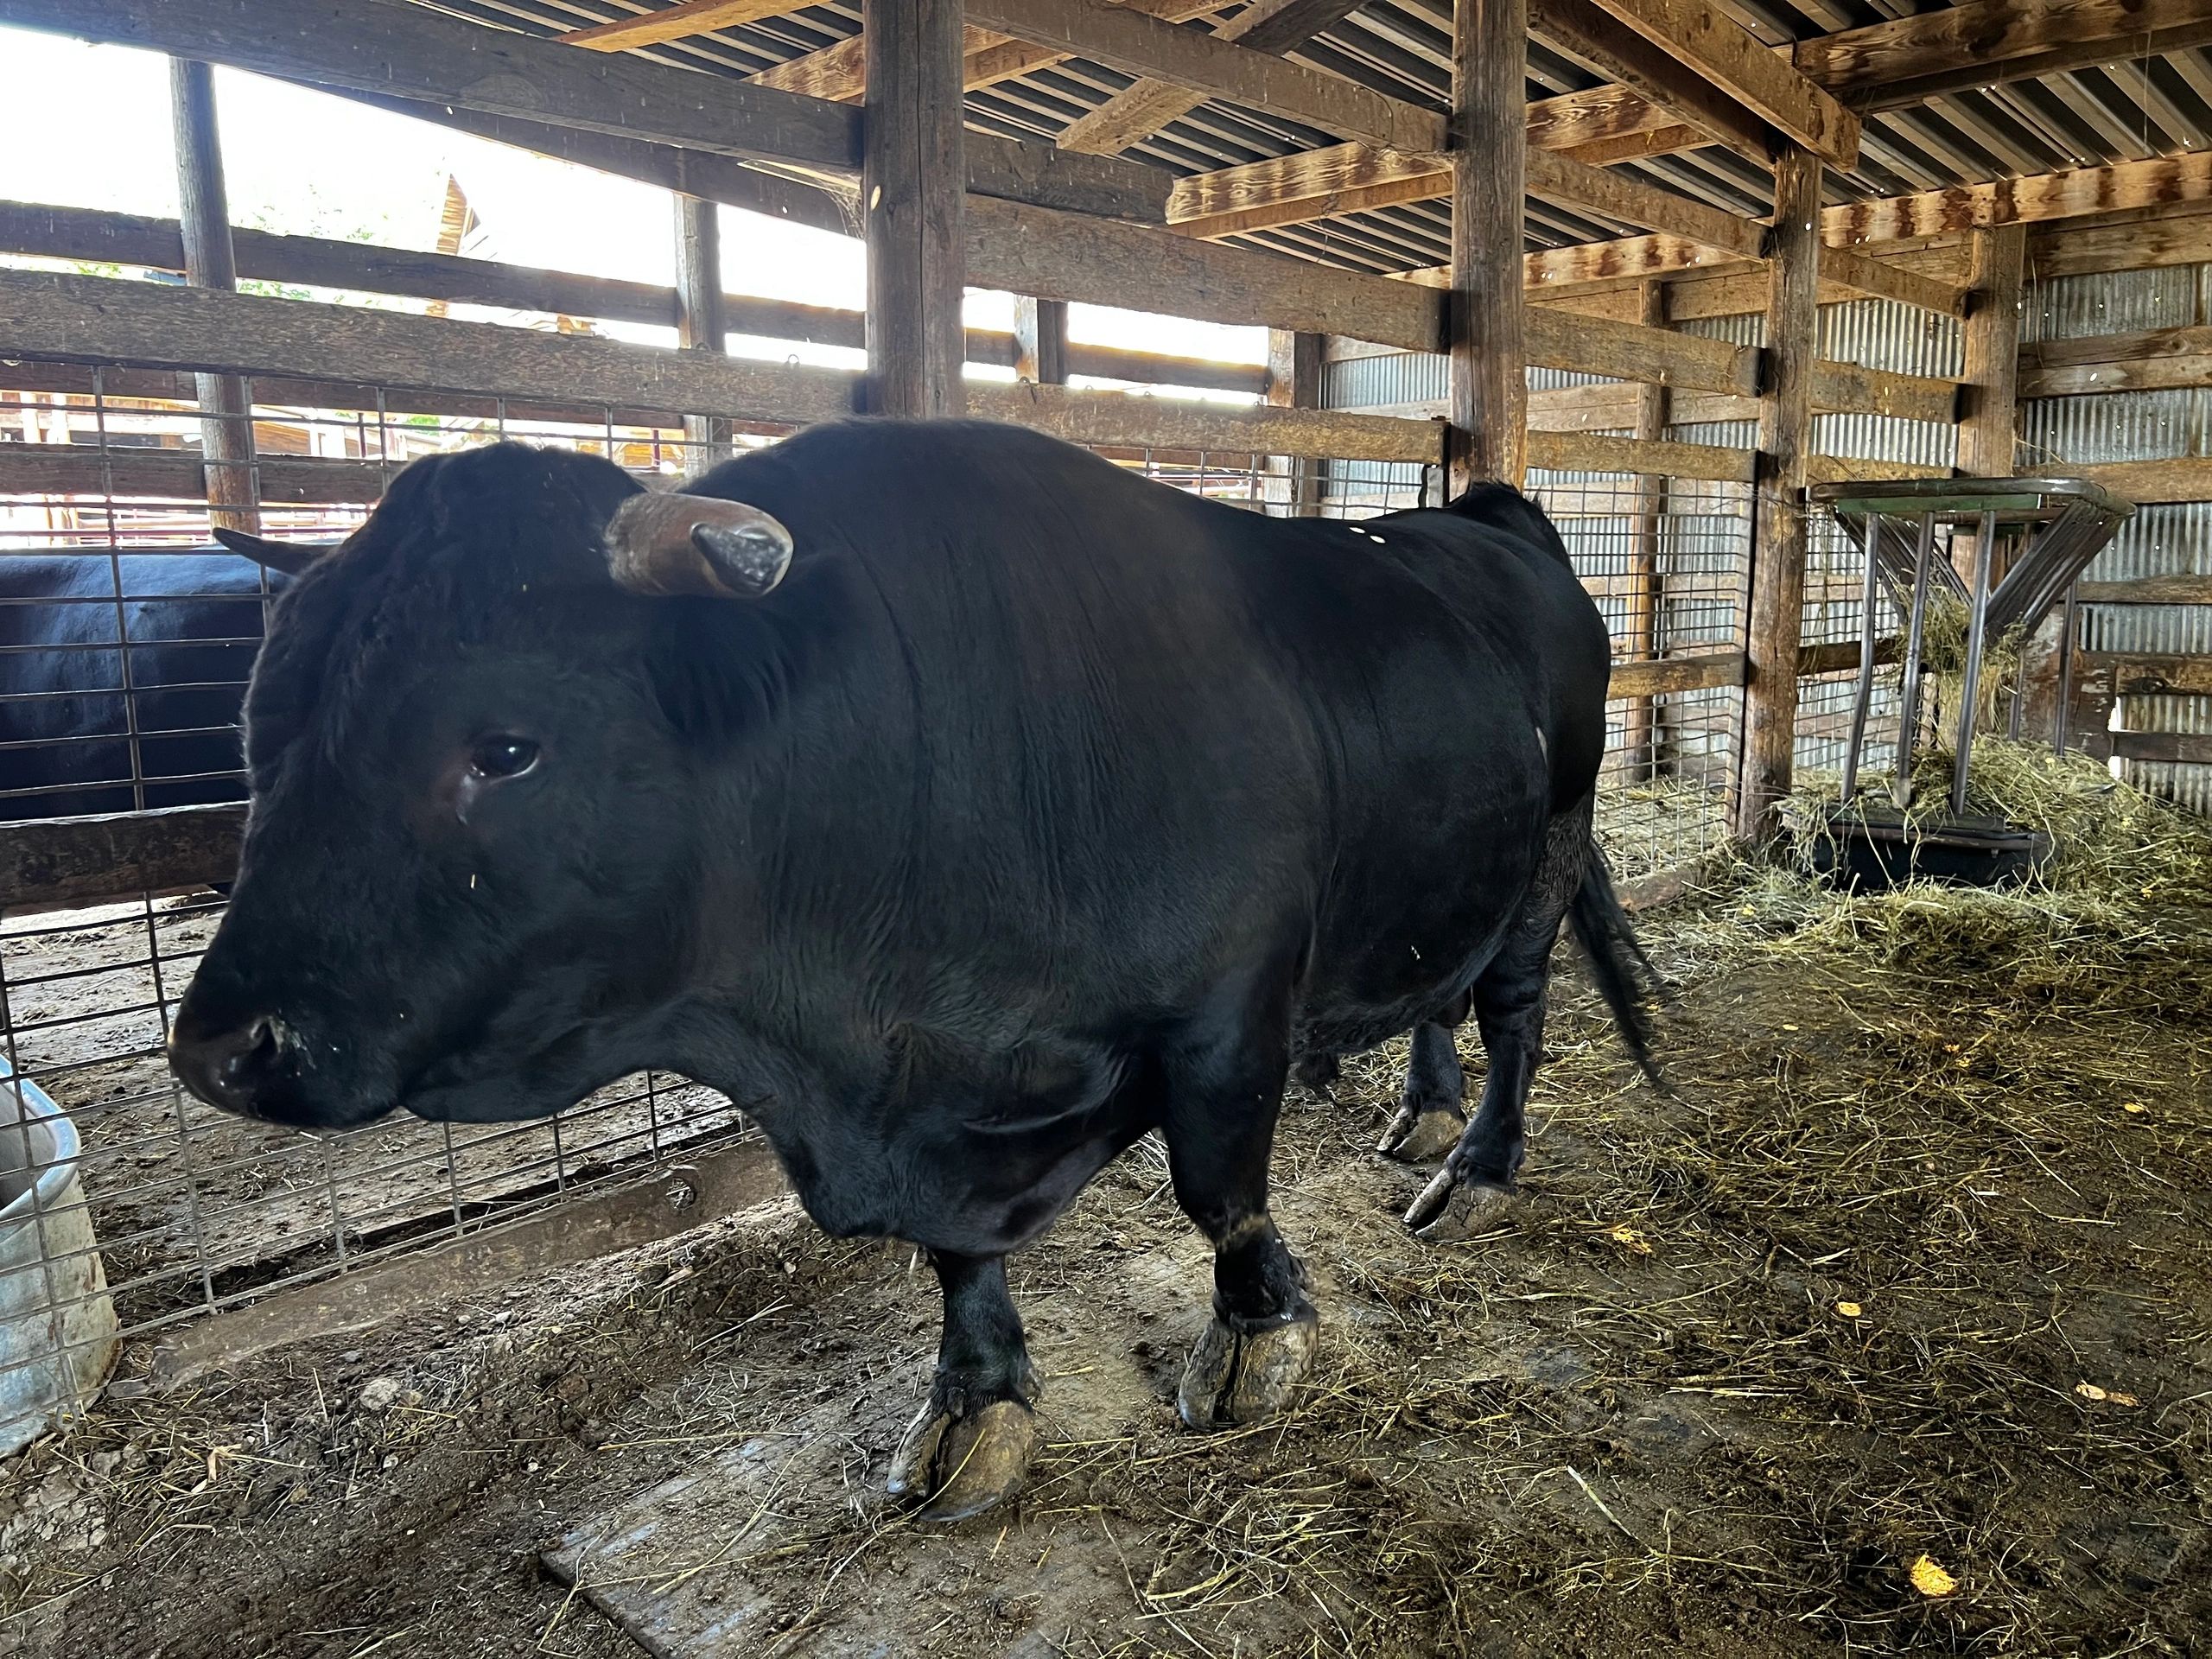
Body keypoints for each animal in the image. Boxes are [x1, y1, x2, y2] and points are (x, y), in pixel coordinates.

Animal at [167, 423, 1659, 1522]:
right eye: (259, 720)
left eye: (506, 747)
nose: (226, 1048)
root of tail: (1482, 516)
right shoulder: (929, 1096)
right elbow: (955, 1262)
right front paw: (977, 1399)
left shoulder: (1227, 1016)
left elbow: (1220, 1191)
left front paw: (1253, 1333)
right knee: (1436, 992)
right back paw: (1416, 1103)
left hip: (1546, 850)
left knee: (1515, 1010)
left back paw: (1476, 1164)